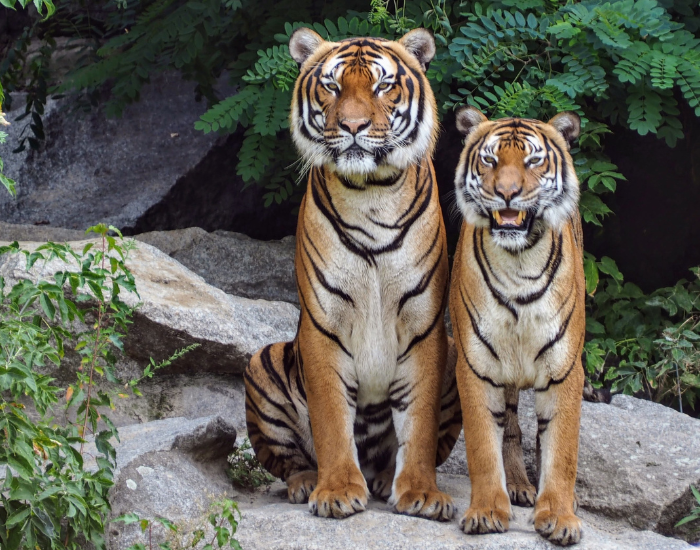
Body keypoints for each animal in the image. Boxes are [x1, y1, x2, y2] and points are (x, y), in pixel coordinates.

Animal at [243, 28, 463, 521]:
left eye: (383, 86)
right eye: (332, 86)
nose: (353, 126)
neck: (371, 192)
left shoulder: (424, 327)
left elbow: (418, 424)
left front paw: (421, 492)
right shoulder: (324, 324)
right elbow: (330, 418)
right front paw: (338, 490)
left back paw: (383, 479)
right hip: (262, 361)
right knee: (287, 461)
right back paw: (307, 482)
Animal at [449, 106, 586, 545]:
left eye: (533, 161)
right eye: (490, 160)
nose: (507, 193)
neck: (518, 263)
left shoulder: (565, 370)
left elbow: (561, 450)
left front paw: (559, 515)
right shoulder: (475, 366)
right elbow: (481, 444)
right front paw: (486, 511)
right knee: (509, 426)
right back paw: (518, 486)